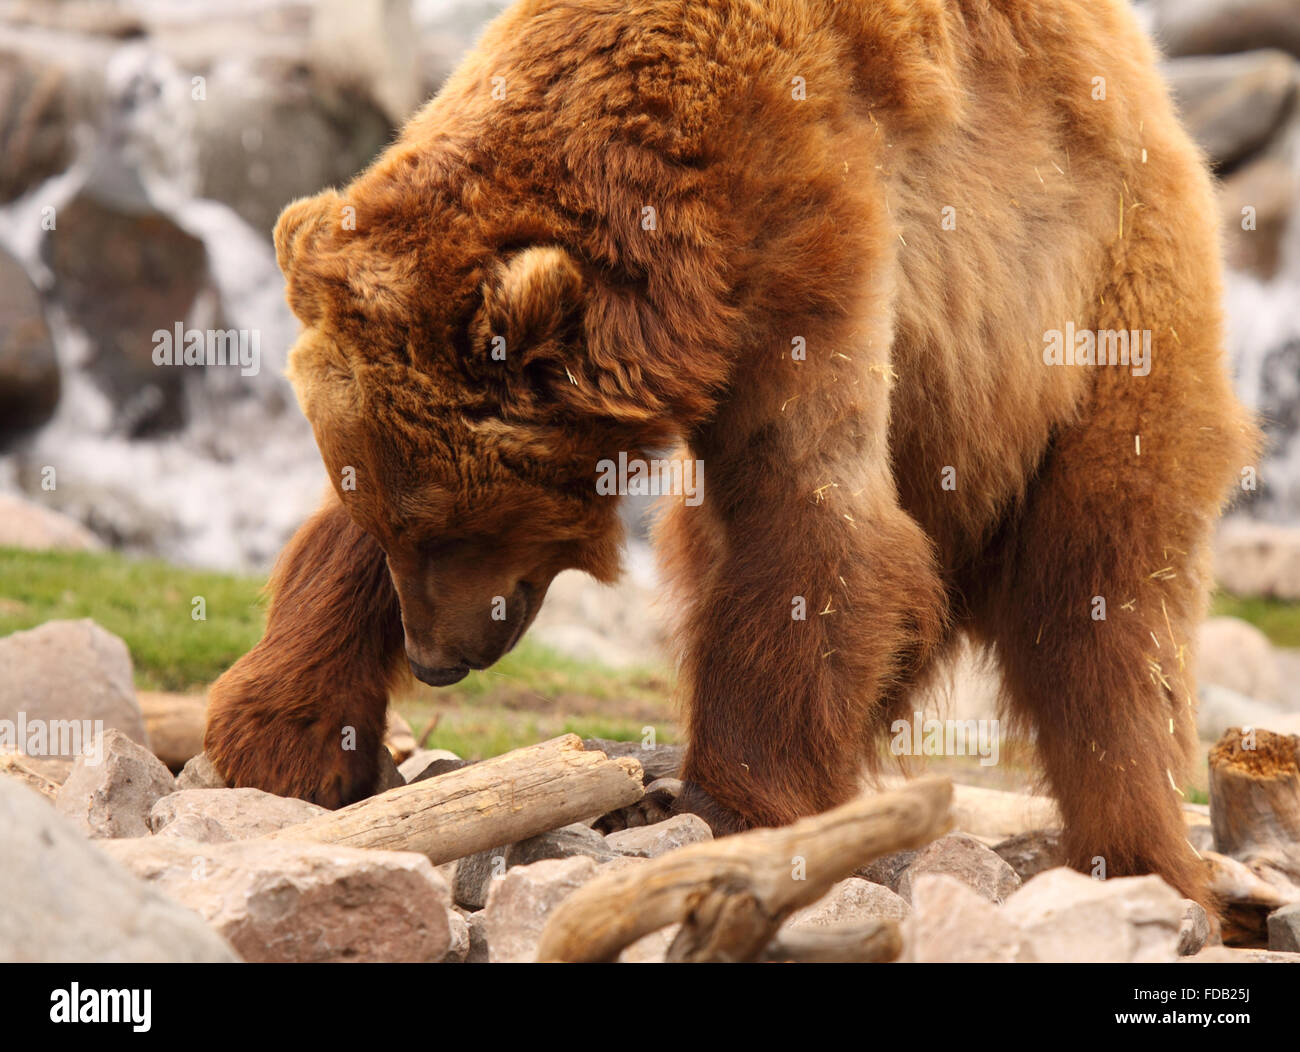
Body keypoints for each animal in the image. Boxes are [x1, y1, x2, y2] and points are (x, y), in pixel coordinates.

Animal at [204, 0, 1258, 908]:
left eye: (454, 525)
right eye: (396, 520)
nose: (435, 661)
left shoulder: (820, 234)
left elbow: (812, 525)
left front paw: (725, 807)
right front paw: (291, 740)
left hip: (1099, 320)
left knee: (1099, 607)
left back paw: (1138, 856)